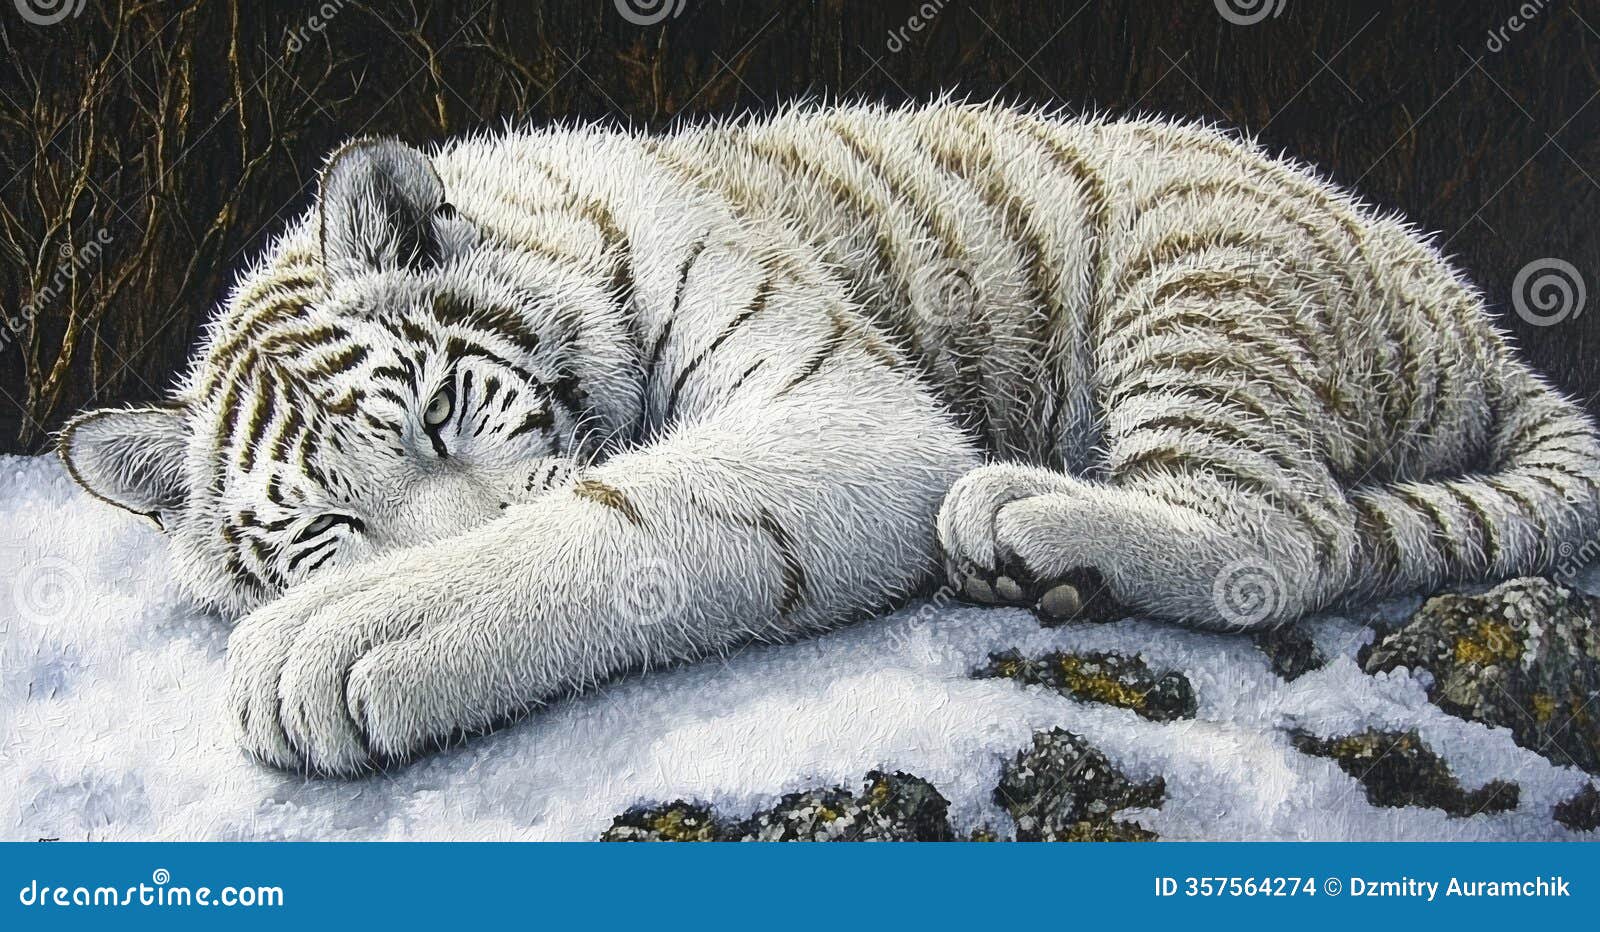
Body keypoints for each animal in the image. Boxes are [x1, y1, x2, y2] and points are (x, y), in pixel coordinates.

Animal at [57, 100, 1600, 775]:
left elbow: (629, 511)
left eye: (440, 414)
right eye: (329, 526)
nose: (357, 564)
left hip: (1203, 264)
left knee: (1288, 532)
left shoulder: (846, 407)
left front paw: (342, 642)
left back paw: (1026, 521)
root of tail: (1463, 303)